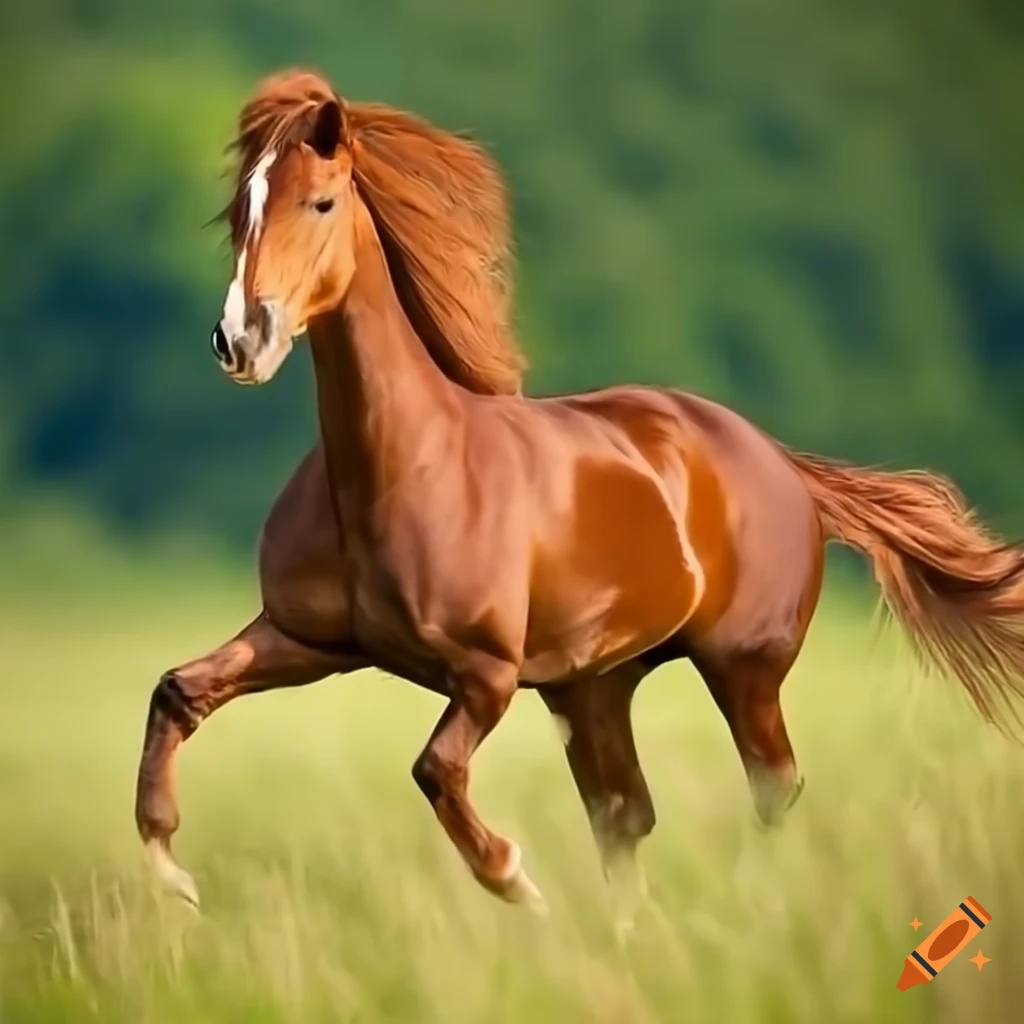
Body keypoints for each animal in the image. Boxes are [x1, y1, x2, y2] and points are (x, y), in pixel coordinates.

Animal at [136, 69, 1024, 917]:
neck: (395, 474)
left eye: (319, 201)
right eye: (238, 211)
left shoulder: (486, 675)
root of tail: (781, 463)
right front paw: (174, 874)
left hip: (743, 667)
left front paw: (516, 880)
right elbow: (177, 690)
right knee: (625, 817)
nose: (241, 339)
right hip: (597, 685)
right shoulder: (307, 639)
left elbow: (435, 770)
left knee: (770, 791)